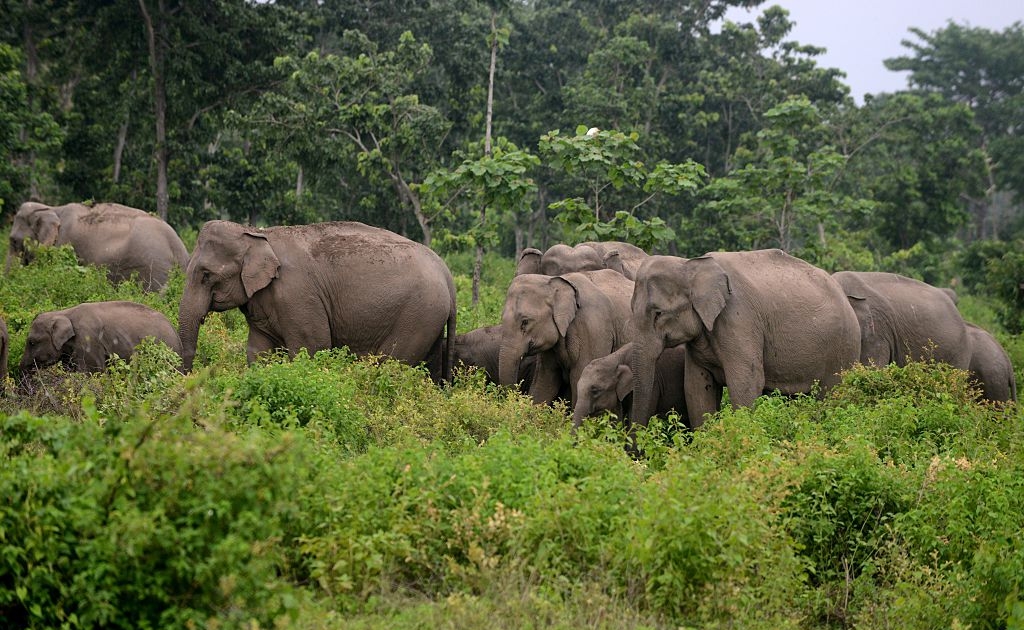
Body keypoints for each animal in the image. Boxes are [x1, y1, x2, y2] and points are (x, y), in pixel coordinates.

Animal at [178, 220, 457, 382]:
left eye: (206, 275)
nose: (188, 378)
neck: (257, 234)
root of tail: (447, 273)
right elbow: (258, 351)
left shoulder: (298, 296)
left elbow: (312, 346)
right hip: (429, 320)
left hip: (417, 316)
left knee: (392, 365)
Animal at [631, 250, 862, 429]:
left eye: (658, 313)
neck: (691, 264)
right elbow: (696, 386)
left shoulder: (739, 319)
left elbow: (746, 382)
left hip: (843, 347)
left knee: (832, 393)